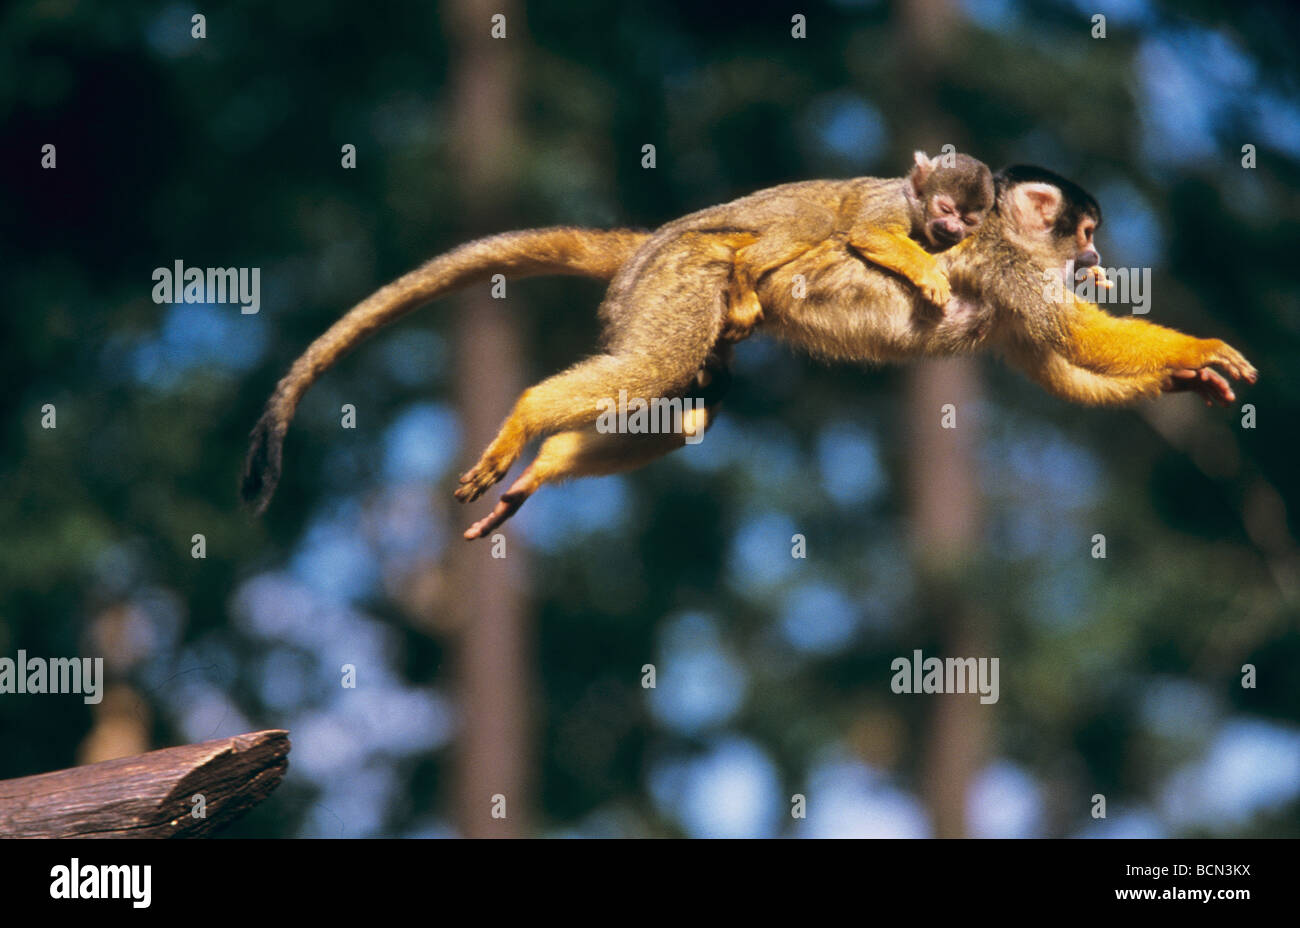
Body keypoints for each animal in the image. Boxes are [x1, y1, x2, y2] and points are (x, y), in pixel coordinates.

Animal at [240, 165, 1255, 539]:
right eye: (1082, 233)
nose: (1092, 260)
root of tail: (659, 240)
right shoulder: (1004, 259)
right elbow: (1071, 334)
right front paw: (1203, 344)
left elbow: (1055, 365)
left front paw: (1187, 373)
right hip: (684, 281)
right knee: (658, 373)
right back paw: (528, 418)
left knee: (688, 406)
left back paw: (543, 467)